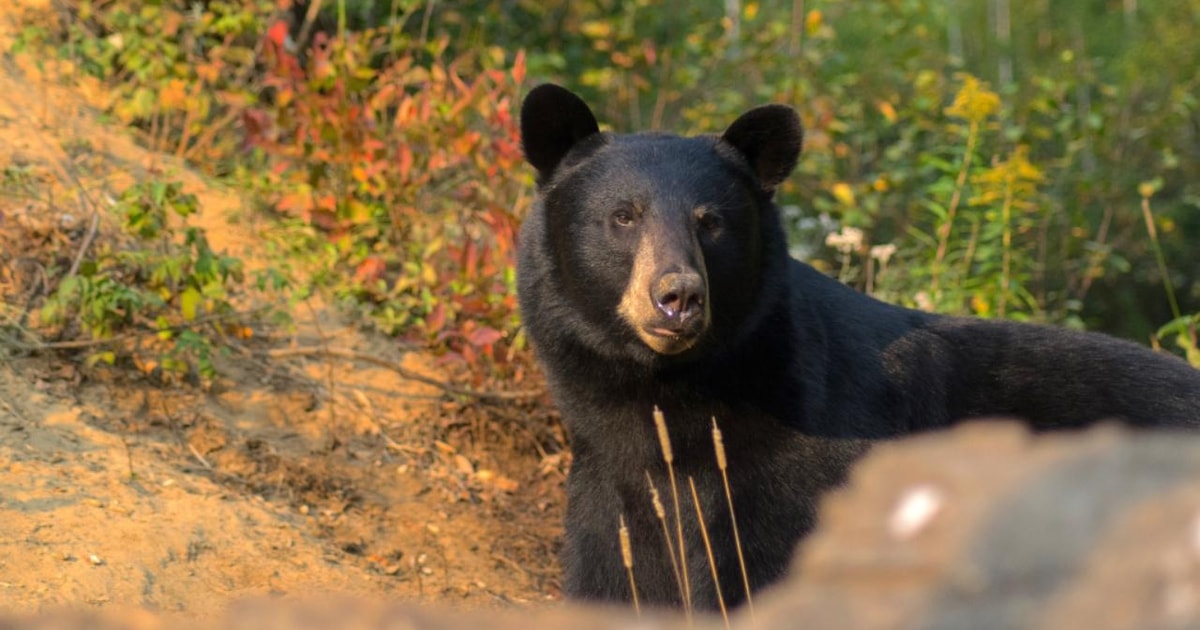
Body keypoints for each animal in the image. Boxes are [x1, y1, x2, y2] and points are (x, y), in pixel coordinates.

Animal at [516, 83, 1200, 612]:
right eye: (623, 216)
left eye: (711, 222)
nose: (678, 297)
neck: (669, 392)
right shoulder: (611, 488)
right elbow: (613, 577)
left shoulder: (803, 472)